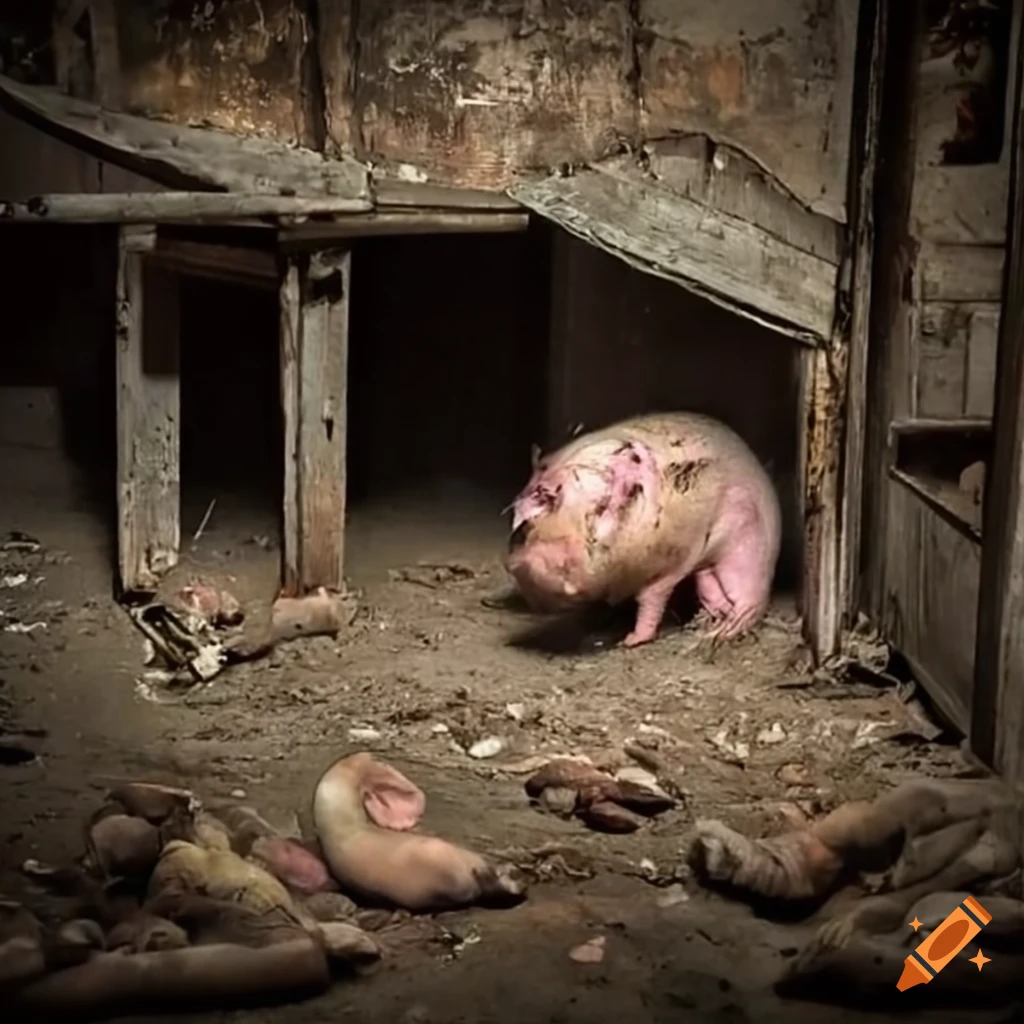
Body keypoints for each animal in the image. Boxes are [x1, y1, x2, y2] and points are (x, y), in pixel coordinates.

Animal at [504, 412, 781, 647]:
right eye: (525, 521)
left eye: (602, 509)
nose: (534, 556)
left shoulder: (672, 563)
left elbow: (651, 601)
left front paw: (628, 642)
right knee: (709, 587)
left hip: (749, 542)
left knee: (750, 593)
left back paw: (722, 632)